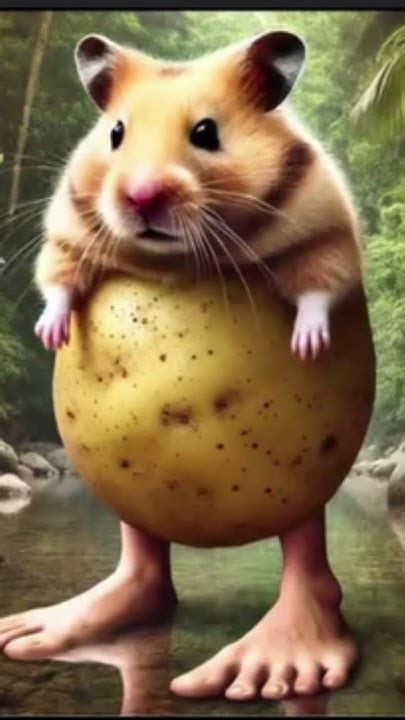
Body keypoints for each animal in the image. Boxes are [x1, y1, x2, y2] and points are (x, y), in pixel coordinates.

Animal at [34, 30, 362, 359]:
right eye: (116, 133)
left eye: (205, 133)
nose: (142, 196)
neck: (172, 259)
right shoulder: (67, 235)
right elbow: (58, 279)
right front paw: (49, 336)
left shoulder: (327, 233)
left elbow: (319, 285)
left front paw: (307, 347)